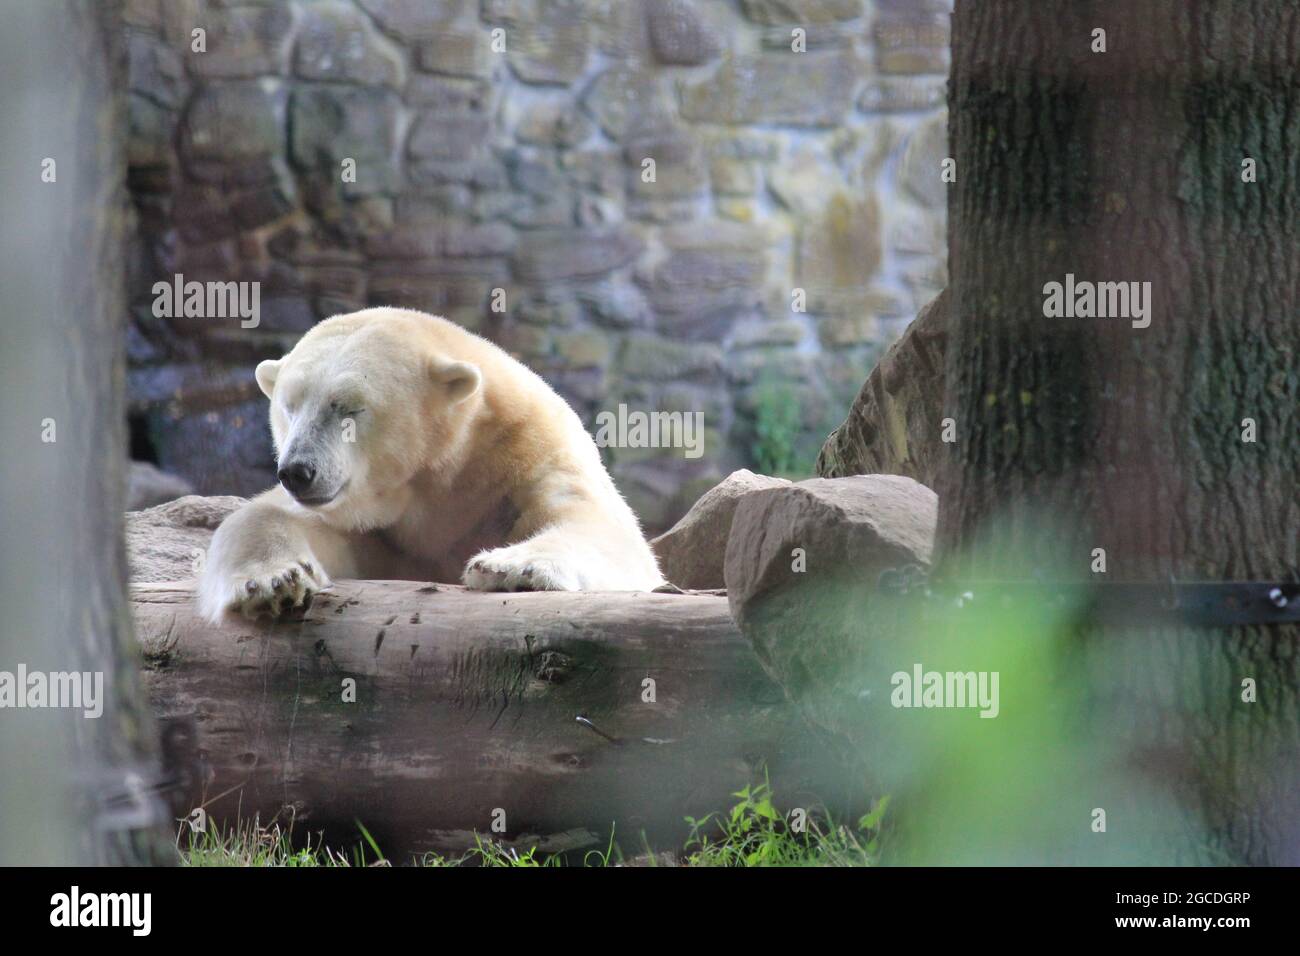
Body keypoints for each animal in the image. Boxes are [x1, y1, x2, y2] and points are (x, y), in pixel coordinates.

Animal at [197, 307, 664, 622]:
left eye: (349, 408)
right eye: (289, 406)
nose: (297, 471)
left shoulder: (533, 454)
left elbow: (598, 526)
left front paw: (508, 567)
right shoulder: (374, 526)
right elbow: (265, 517)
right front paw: (274, 581)